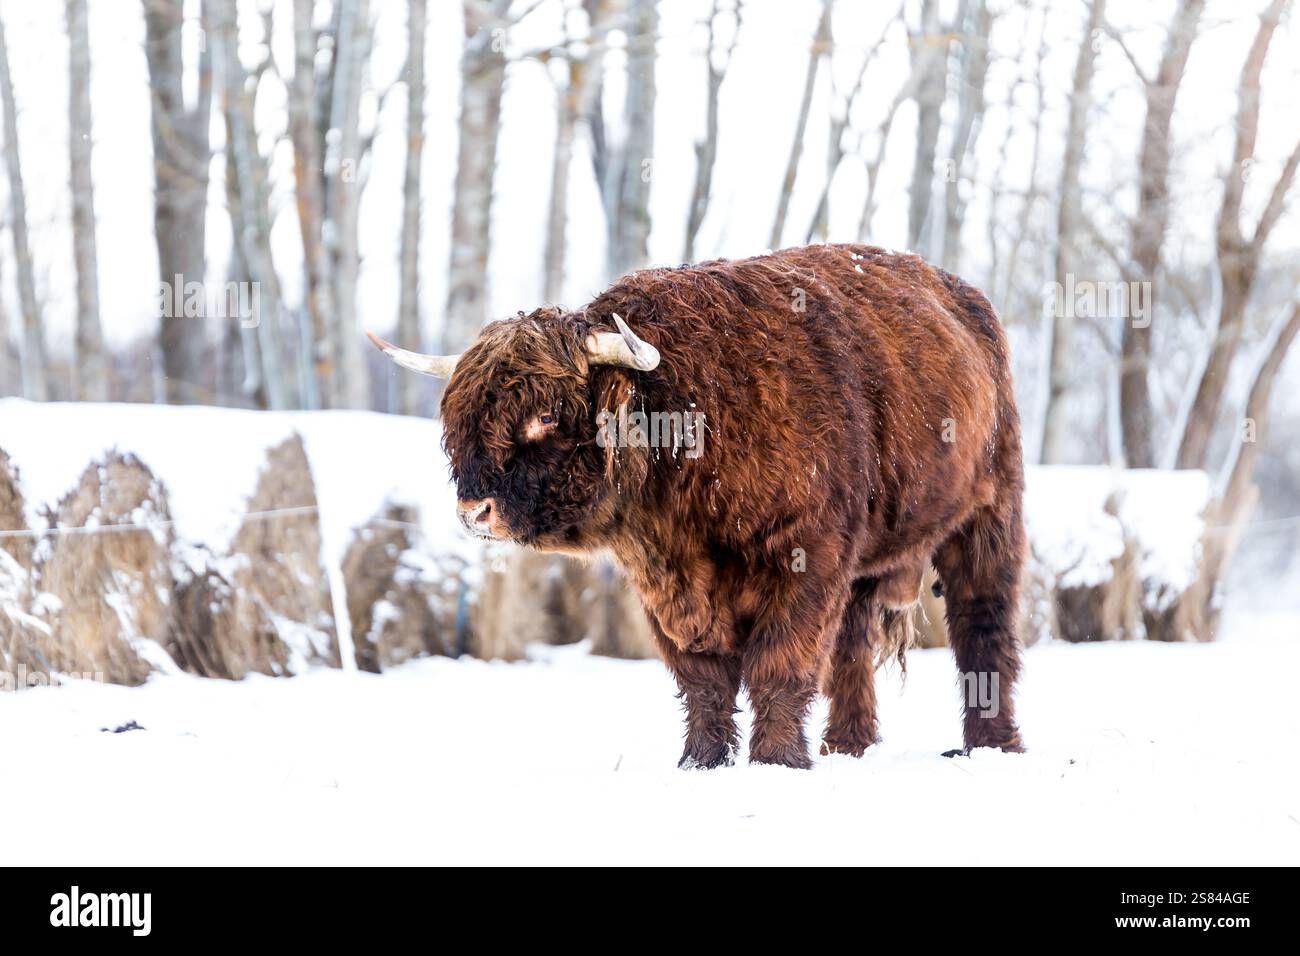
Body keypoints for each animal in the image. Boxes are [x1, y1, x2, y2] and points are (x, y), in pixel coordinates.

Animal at [369, 243, 1026, 769]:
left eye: (546, 416)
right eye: (461, 419)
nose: (473, 511)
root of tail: (962, 295)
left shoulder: (809, 557)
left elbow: (779, 666)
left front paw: (777, 763)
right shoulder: (666, 582)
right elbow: (702, 678)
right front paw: (702, 762)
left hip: (991, 510)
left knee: (983, 623)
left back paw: (991, 746)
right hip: (875, 554)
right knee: (855, 641)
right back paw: (848, 745)